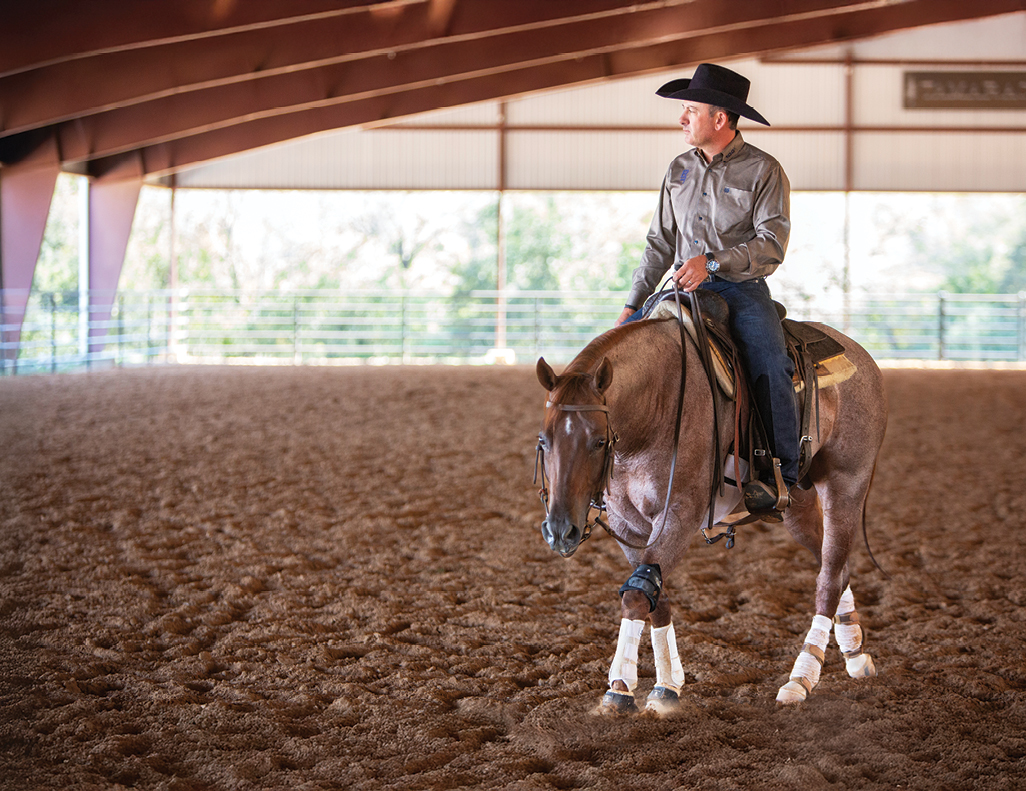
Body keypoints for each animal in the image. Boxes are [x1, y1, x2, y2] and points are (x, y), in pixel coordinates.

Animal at [535, 307, 887, 714]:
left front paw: (619, 689)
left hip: (847, 485)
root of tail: (863, 358)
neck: (654, 408)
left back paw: (801, 678)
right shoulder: (629, 526)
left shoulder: (679, 515)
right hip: (796, 505)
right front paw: (666, 685)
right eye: (544, 440)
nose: (561, 531)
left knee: (829, 576)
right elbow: (653, 593)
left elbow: (638, 594)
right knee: (837, 567)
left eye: (598, 441)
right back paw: (856, 655)